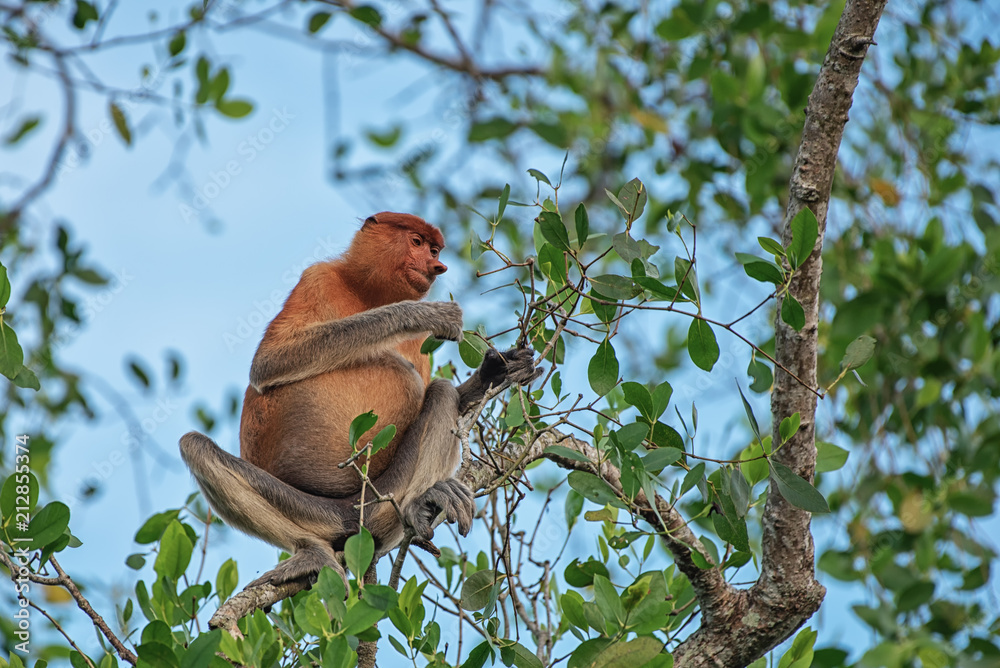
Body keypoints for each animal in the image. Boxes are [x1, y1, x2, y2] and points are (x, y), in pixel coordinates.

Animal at [179, 212, 539, 588]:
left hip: (385, 495)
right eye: (417, 243)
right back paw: (313, 553)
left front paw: (500, 369)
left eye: (435, 249)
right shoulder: (317, 277)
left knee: (440, 393)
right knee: (196, 446)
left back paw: (418, 504)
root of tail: (353, 509)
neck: (369, 293)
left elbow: (442, 390)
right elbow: (269, 362)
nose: (437, 266)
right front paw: (419, 314)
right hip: (311, 508)